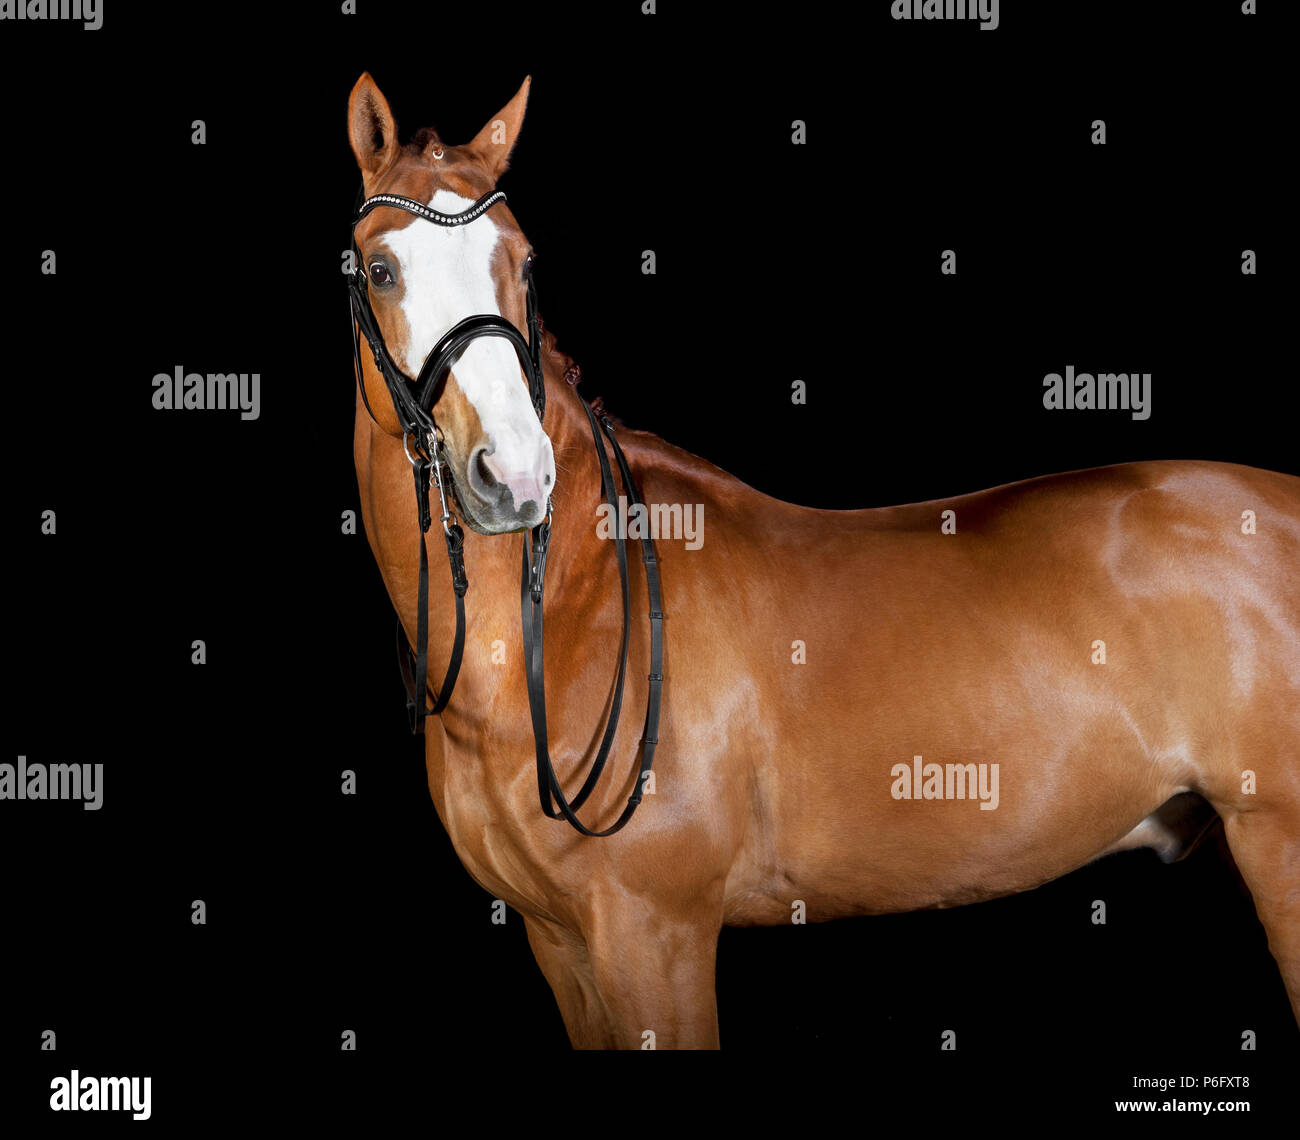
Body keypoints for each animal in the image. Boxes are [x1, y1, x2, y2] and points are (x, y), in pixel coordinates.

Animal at [346, 73, 1300, 1049]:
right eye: (380, 270)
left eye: (526, 261)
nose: (515, 474)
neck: (574, 613)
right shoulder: (561, 944)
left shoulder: (656, 933)